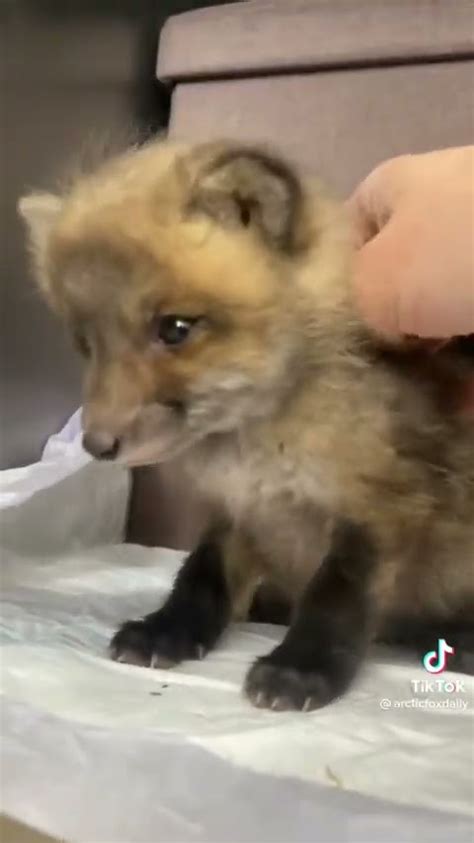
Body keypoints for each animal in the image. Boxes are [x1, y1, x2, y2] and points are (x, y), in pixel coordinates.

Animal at [19, 139, 474, 711]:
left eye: (175, 329)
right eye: (86, 344)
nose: (97, 445)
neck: (256, 452)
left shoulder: (381, 504)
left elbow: (335, 596)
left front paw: (300, 668)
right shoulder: (238, 511)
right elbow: (200, 576)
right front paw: (166, 631)